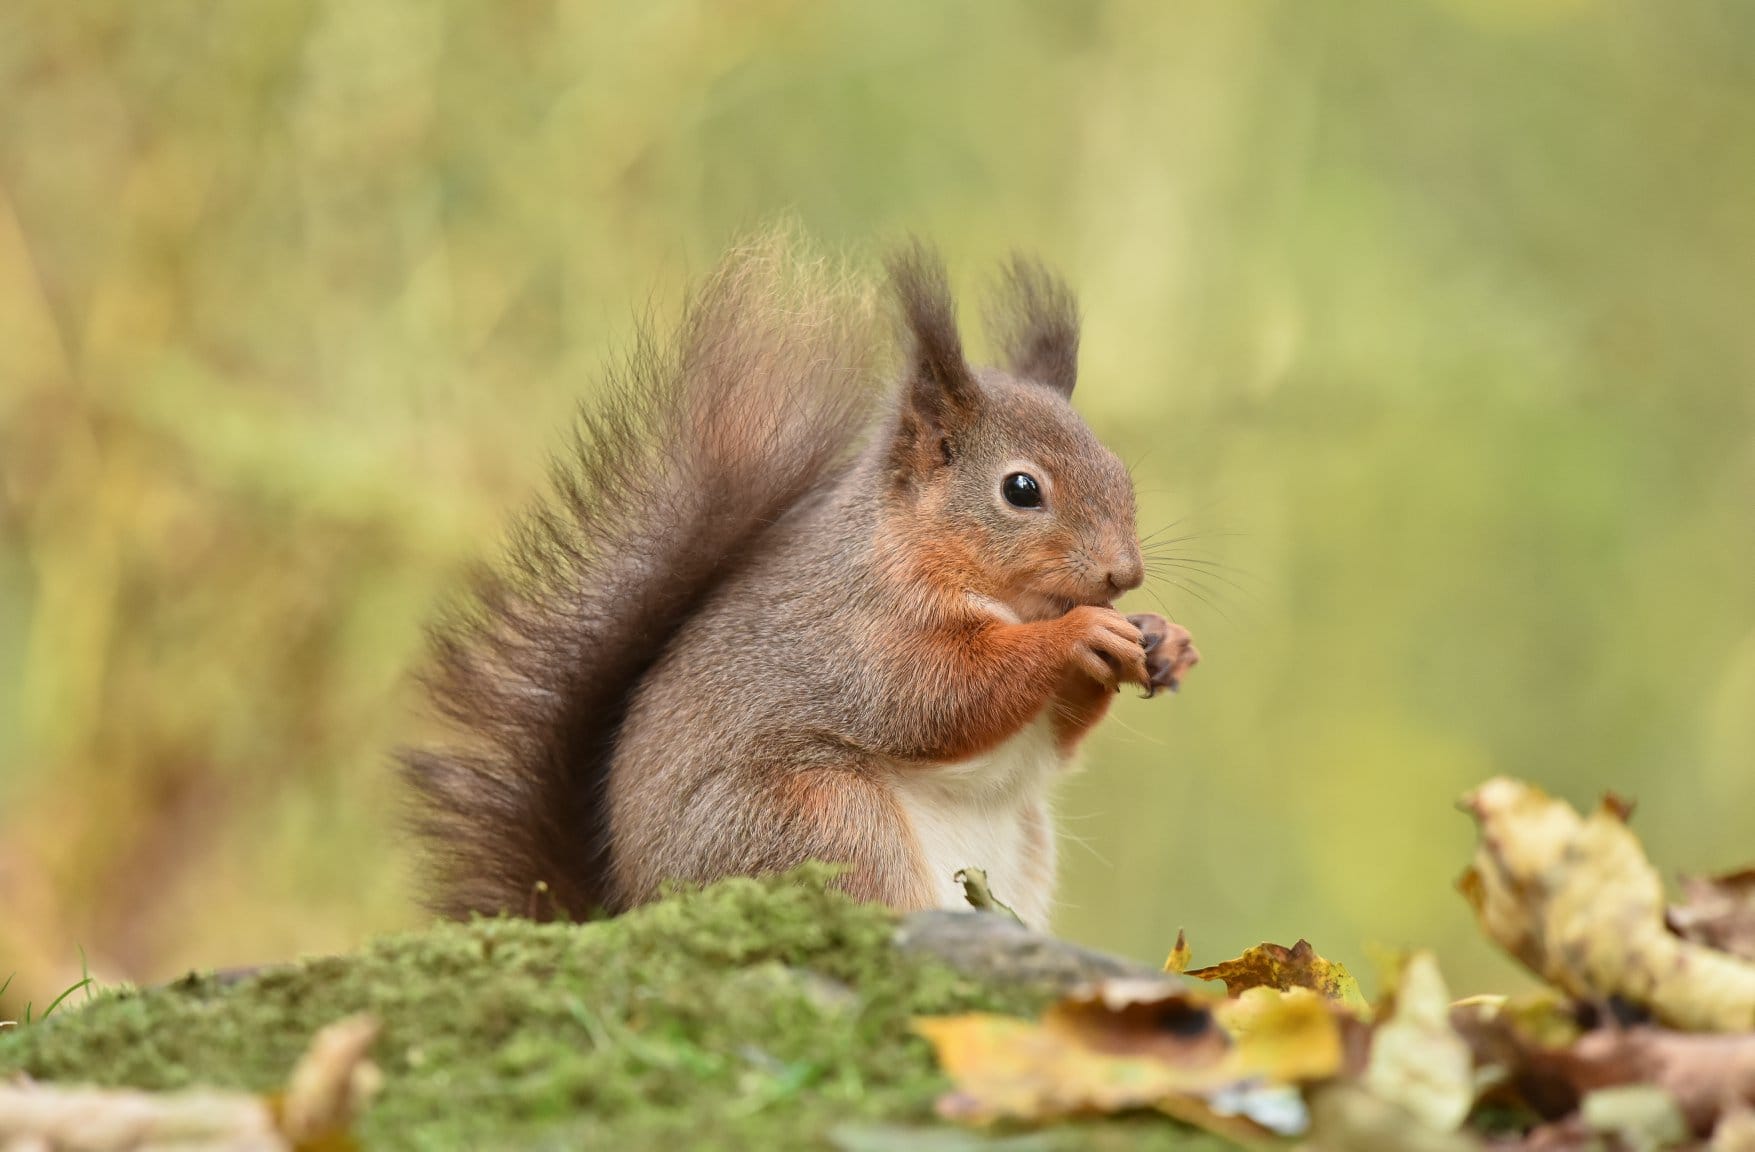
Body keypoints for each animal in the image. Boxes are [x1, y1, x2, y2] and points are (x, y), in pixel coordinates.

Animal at [400, 237, 1198, 929]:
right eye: (1022, 489)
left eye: (1118, 468)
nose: (1124, 573)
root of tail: (632, 909)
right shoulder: (863, 634)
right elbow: (939, 695)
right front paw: (1078, 633)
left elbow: (1055, 735)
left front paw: (1163, 639)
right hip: (822, 820)